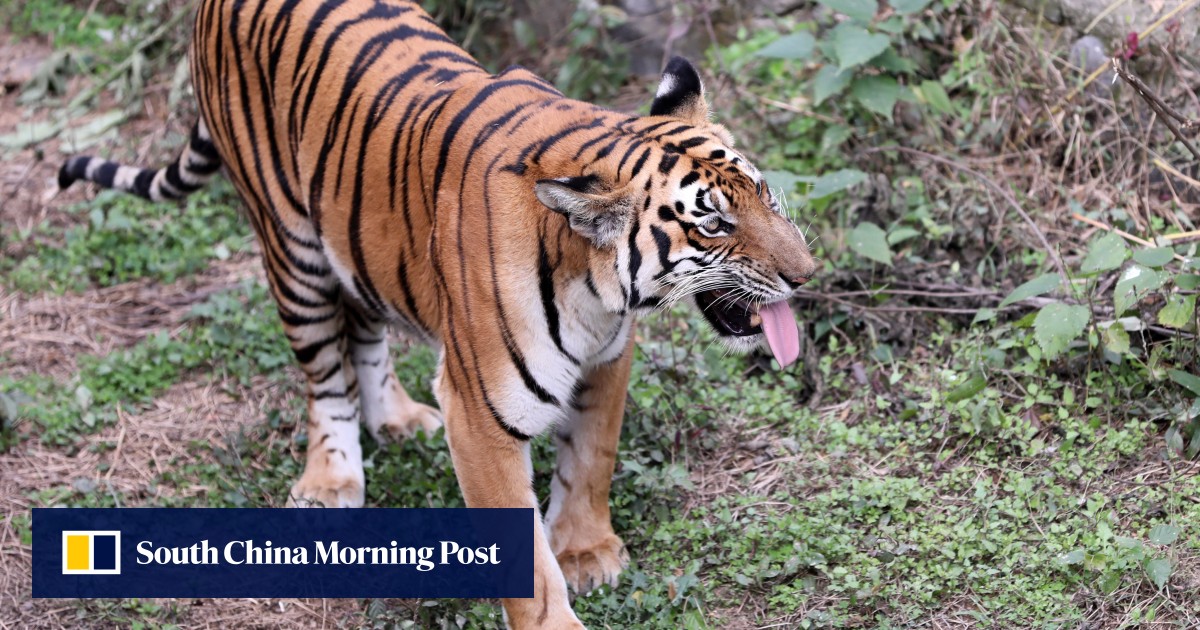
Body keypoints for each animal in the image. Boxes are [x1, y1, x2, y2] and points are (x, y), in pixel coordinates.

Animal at [57, 0, 818, 625]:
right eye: (713, 225)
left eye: (763, 195)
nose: (806, 275)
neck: (596, 289)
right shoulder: (480, 413)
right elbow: (529, 568)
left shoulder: (608, 359)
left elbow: (591, 457)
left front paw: (587, 551)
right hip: (292, 247)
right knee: (322, 373)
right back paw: (331, 480)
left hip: (361, 241)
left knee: (363, 331)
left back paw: (394, 417)